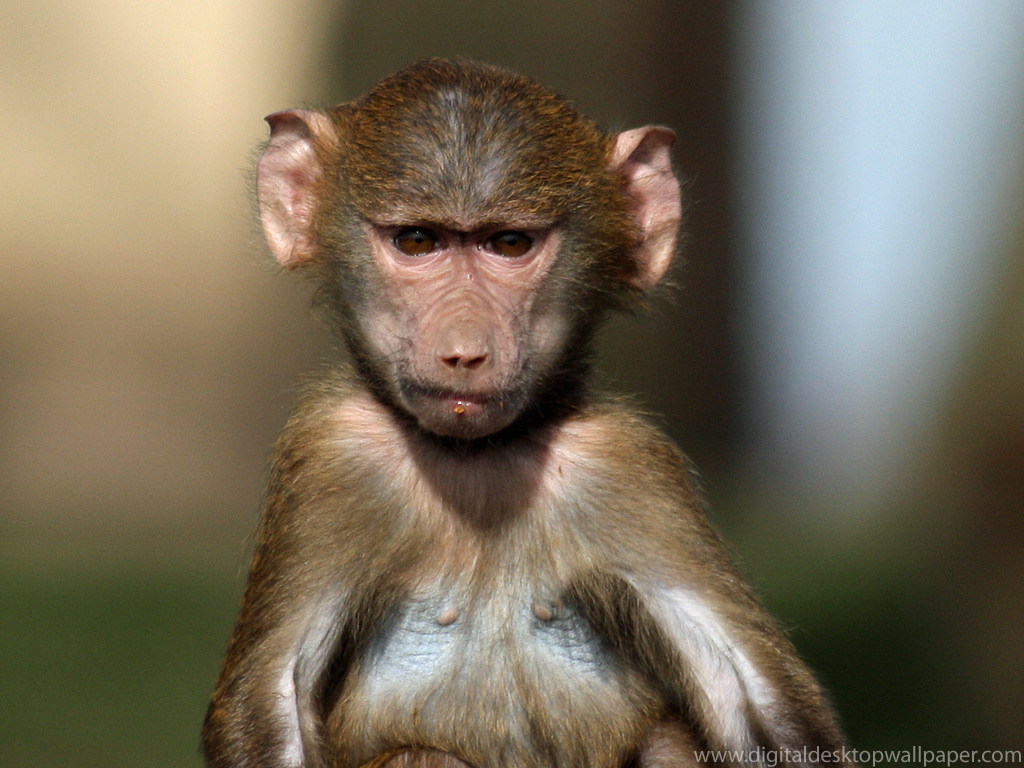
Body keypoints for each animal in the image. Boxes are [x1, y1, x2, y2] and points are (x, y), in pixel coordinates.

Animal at [202, 58, 855, 768]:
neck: (478, 457)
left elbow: (756, 702)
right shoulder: (329, 461)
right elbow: (275, 700)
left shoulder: (630, 465)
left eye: (510, 243)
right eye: (417, 240)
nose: (465, 351)